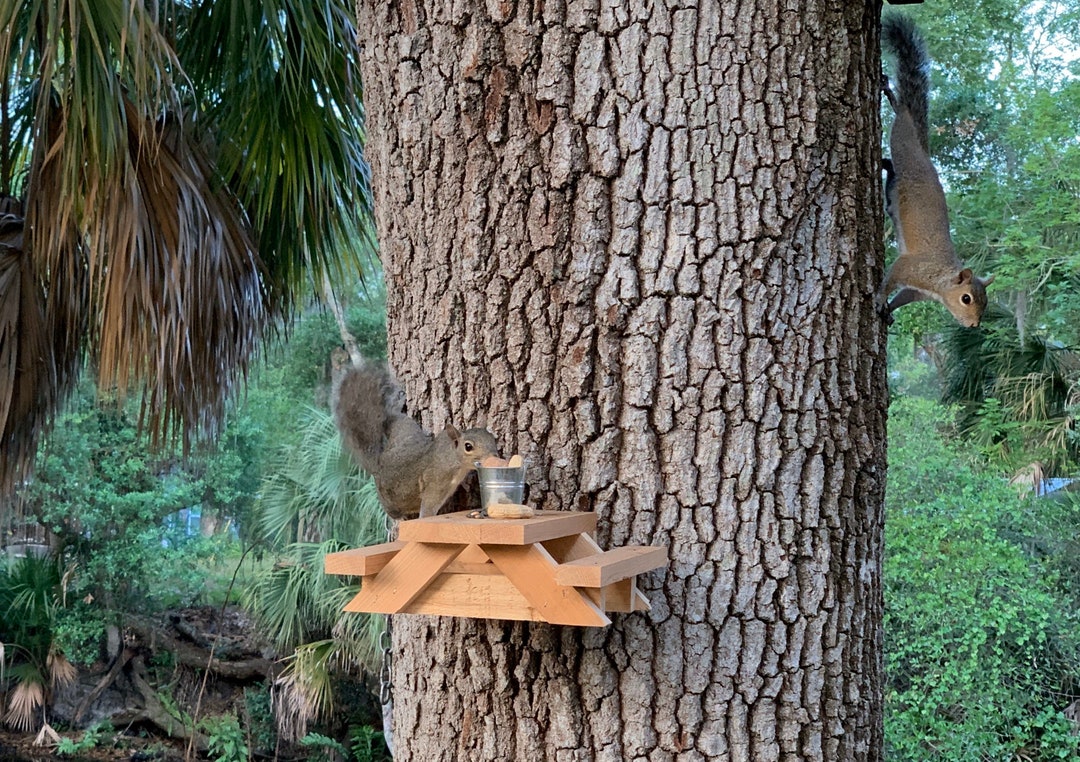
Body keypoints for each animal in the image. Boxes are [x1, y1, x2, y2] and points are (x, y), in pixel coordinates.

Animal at [331, 354, 501, 520]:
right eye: (468, 446)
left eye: (492, 439)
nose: (494, 456)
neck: (450, 457)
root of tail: (378, 465)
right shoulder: (436, 483)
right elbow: (427, 512)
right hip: (389, 499)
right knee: (393, 513)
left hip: (406, 431)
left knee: (393, 418)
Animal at [879, 14, 993, 328]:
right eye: (966, 298)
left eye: (986, 302)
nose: (973, 325)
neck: (940, 281)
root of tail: (922, 151)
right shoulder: (910, 267)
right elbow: (890, 280)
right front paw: (879, 299)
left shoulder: (916, 292)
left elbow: (902, 297)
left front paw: (889, 312)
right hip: (902, 141)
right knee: (900, 121)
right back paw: (893, 98)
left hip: (898, 180)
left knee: (891, 173)